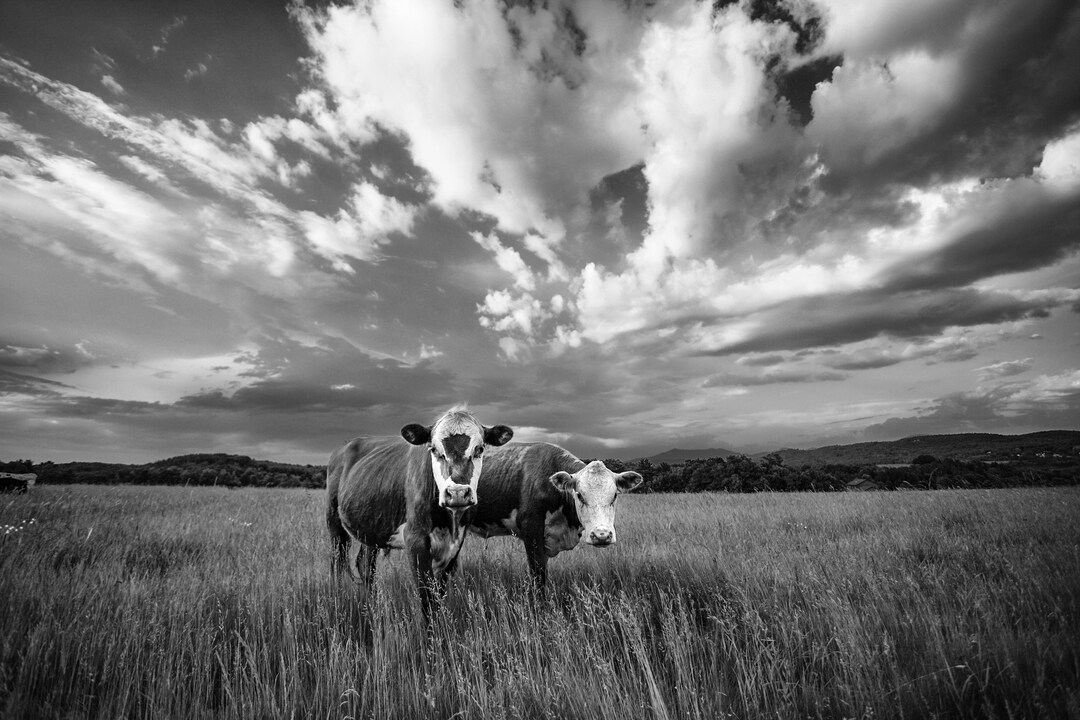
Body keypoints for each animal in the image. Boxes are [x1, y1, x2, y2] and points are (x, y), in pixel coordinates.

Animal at [325, 407, 513, 615]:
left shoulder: (454, 545)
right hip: (334, 523)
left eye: (479, 449)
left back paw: (373, 606)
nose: (457, 493)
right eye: (434, 449)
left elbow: (439, 593)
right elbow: (427, 598)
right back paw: (337, 599)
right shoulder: (416, 540)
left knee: (365, 565)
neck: (449, 522)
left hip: (371, 528)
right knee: (337, 563)